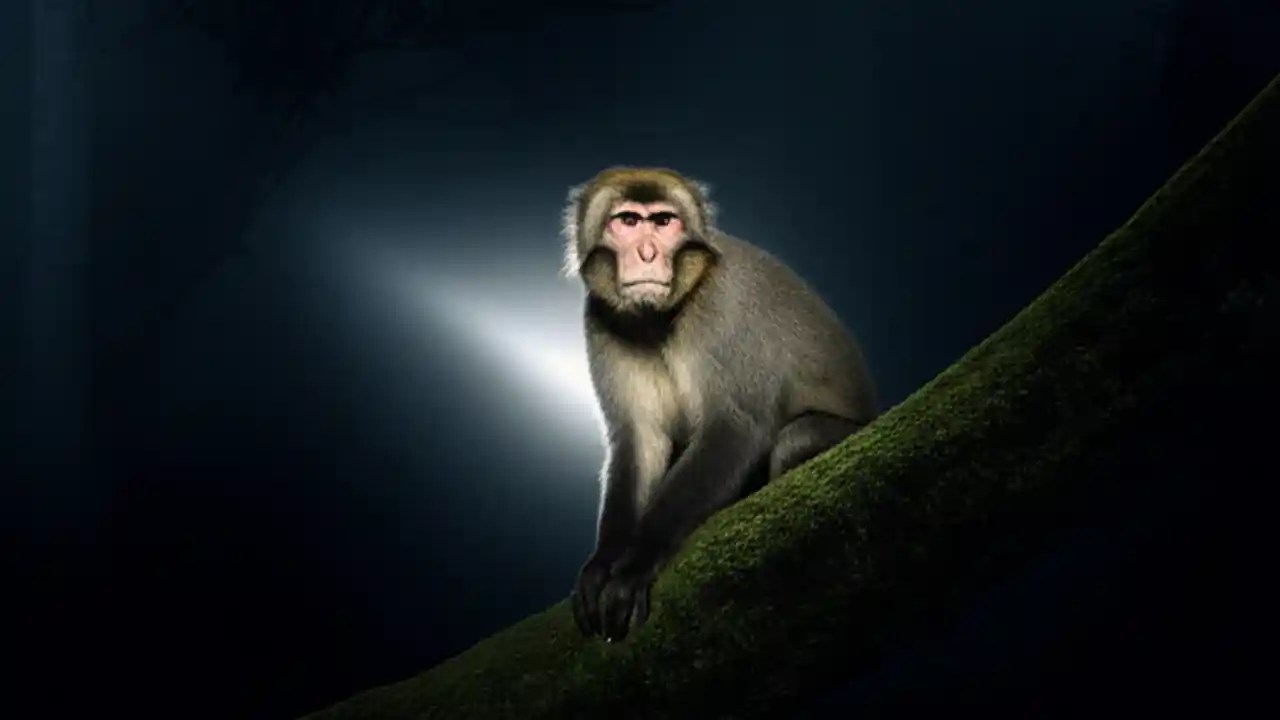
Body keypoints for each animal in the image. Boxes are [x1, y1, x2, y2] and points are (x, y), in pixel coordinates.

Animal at [563, 166, 878, 642]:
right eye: (628, 221)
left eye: (664, 221)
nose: (647, 253)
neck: (658, 318)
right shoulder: (600, 317)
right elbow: (640, 441)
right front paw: (603, 564)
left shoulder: (723, 303)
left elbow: (735, 427)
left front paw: (637, 563)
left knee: (795, 440)